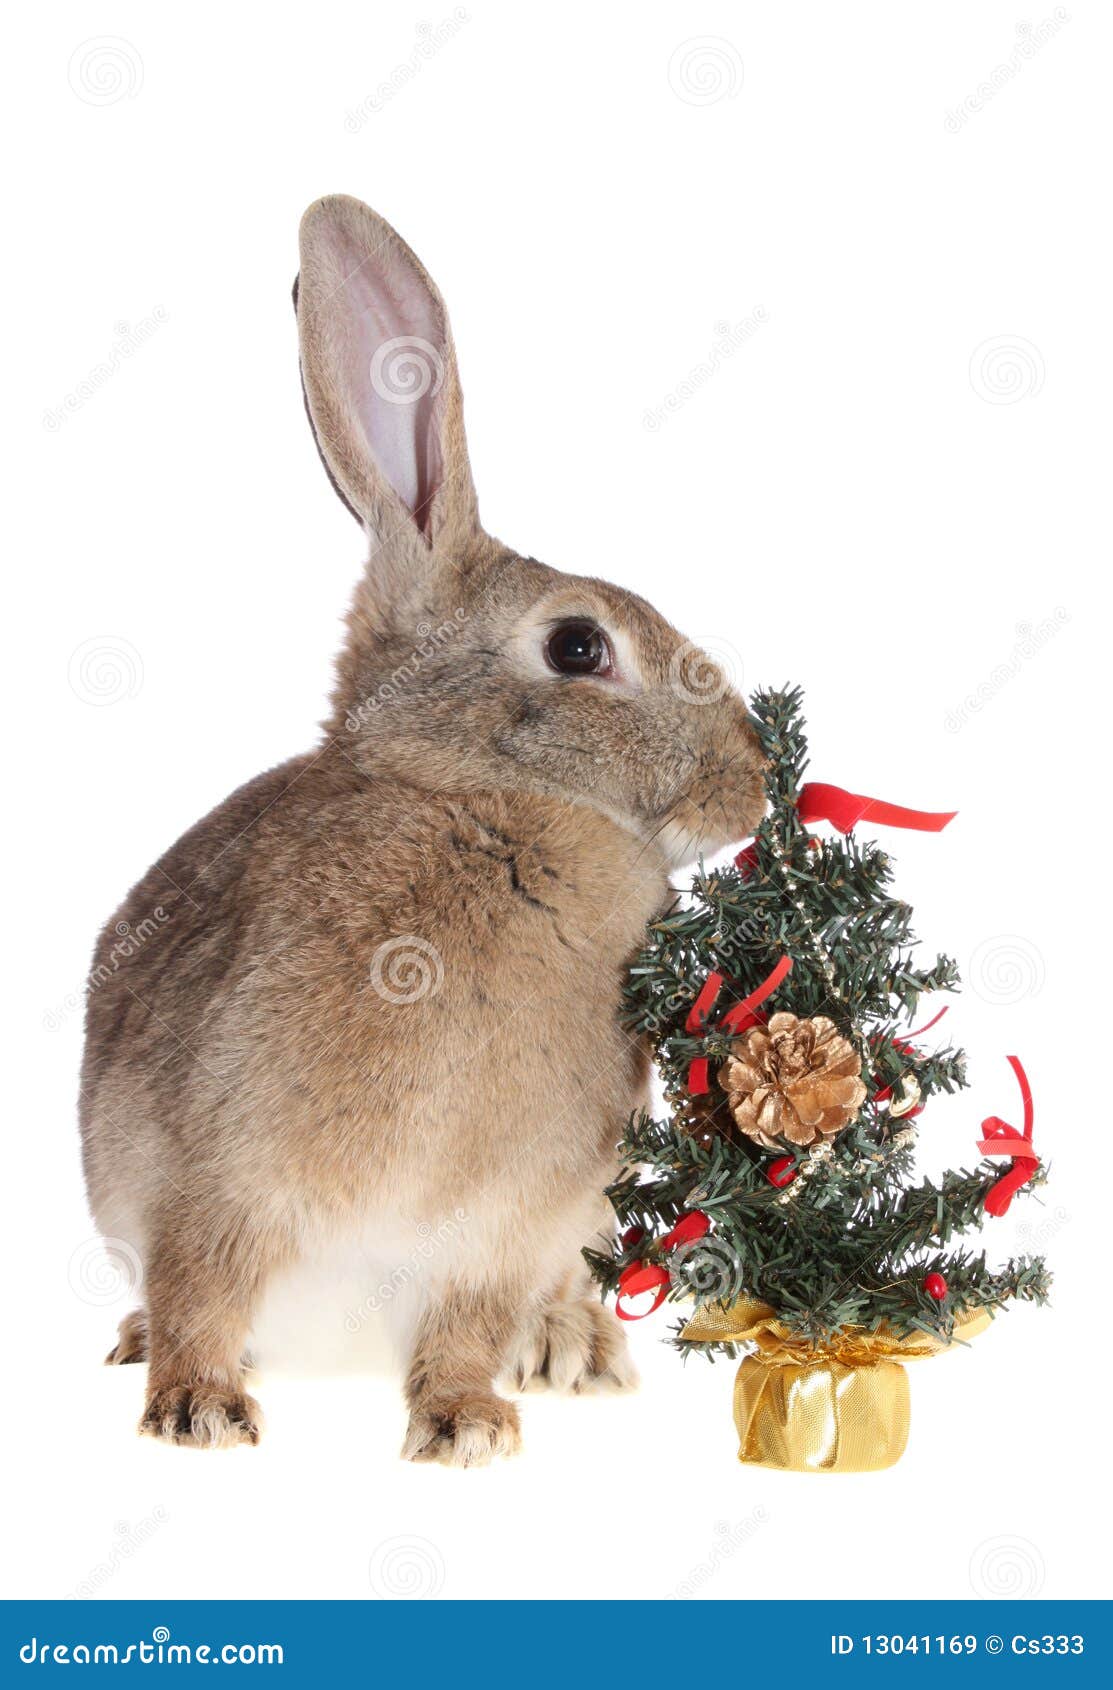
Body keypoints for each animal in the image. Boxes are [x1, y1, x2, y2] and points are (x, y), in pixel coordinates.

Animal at [79, 194, 765, 1463]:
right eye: (580, 646)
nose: (753, 780)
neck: (484, 808)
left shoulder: (504, 1221)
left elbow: (465, 1326)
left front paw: (464, 1426)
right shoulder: (211, 1177)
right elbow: (202, 1288)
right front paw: (198, 1412)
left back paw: (572, 1351)